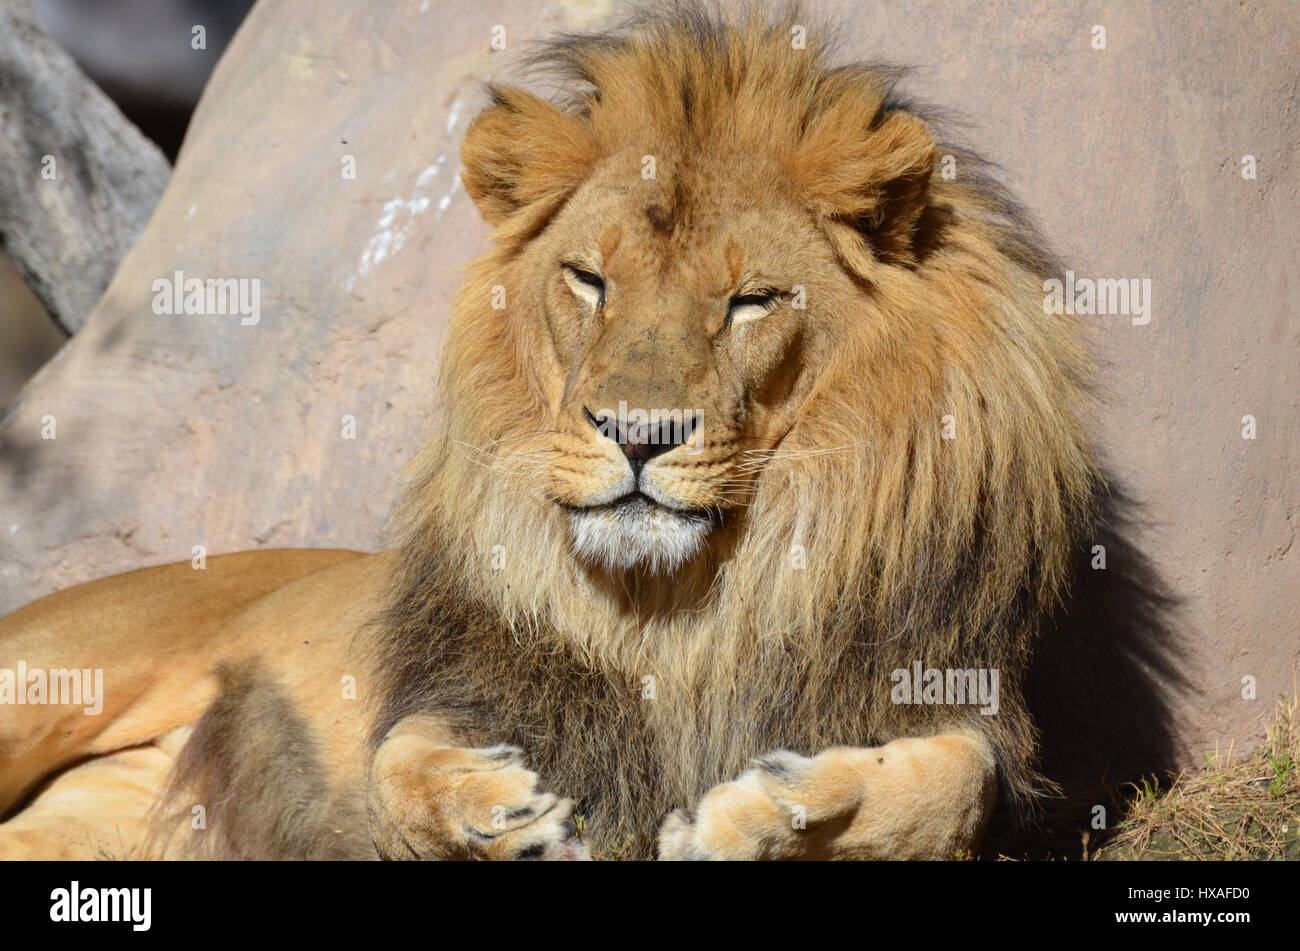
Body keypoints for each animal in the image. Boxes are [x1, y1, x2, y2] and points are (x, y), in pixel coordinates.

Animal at [0, 5, 1098, 861]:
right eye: (589, 279)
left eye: (750, 300)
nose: (639, 433)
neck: (685, 613)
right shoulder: (459, 684)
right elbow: (396, 763)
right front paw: (492, 811)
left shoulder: (949, 695)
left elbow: (950, 790)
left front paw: (763, 812)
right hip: (53, 670)